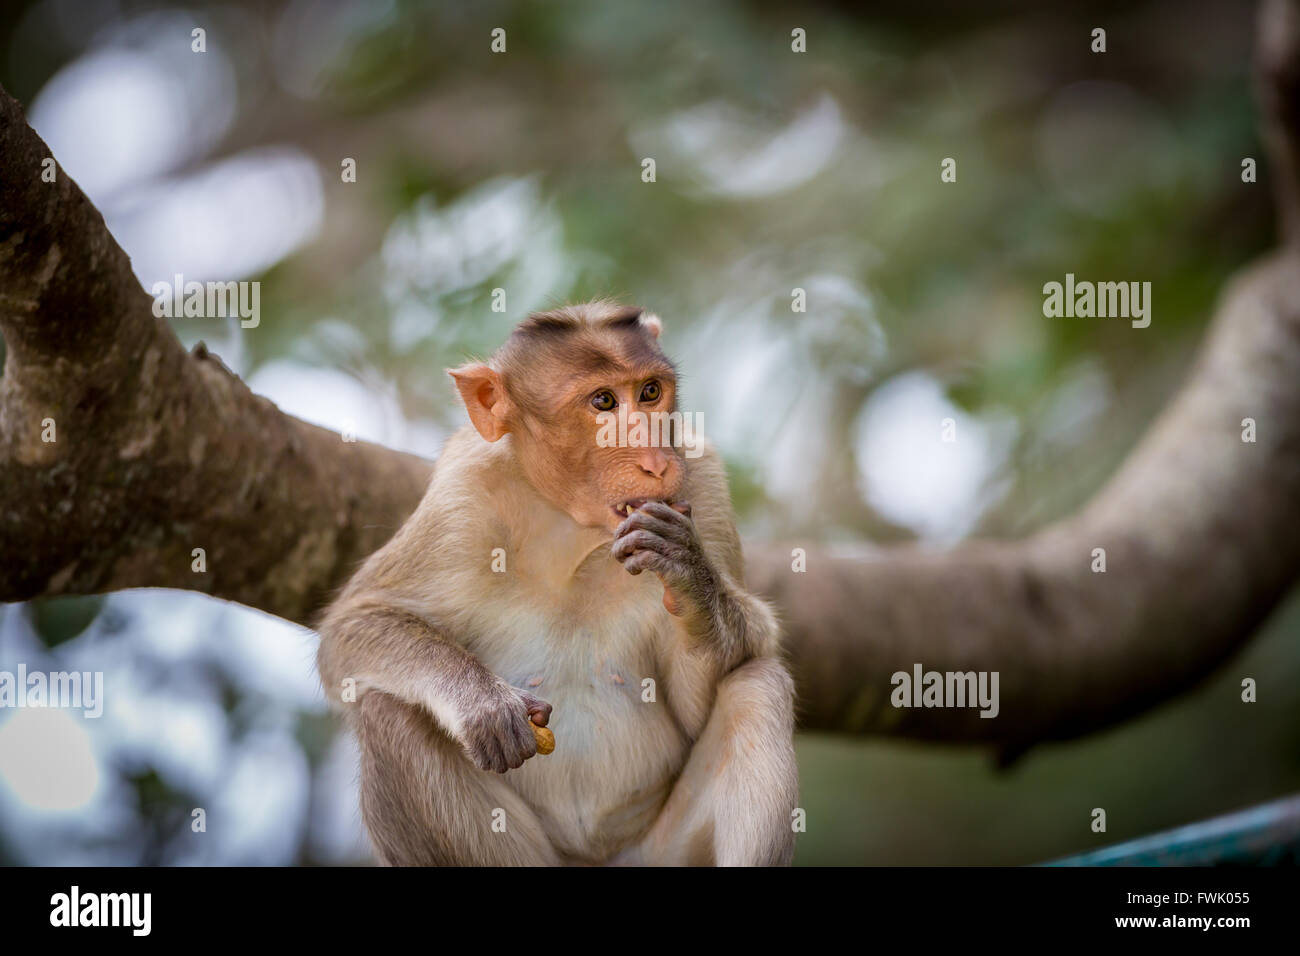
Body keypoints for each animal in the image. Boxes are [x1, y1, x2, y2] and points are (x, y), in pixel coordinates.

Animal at [315, 301, 798, 866]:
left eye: (650, 392)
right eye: (603, 401)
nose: (657, 462)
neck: (571, 532)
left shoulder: (704, 483)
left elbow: (703, 698)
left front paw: (689, 573)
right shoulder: (460, 498)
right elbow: (353, 627)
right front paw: (481, 701)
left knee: (757, 685)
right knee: (387, 713)